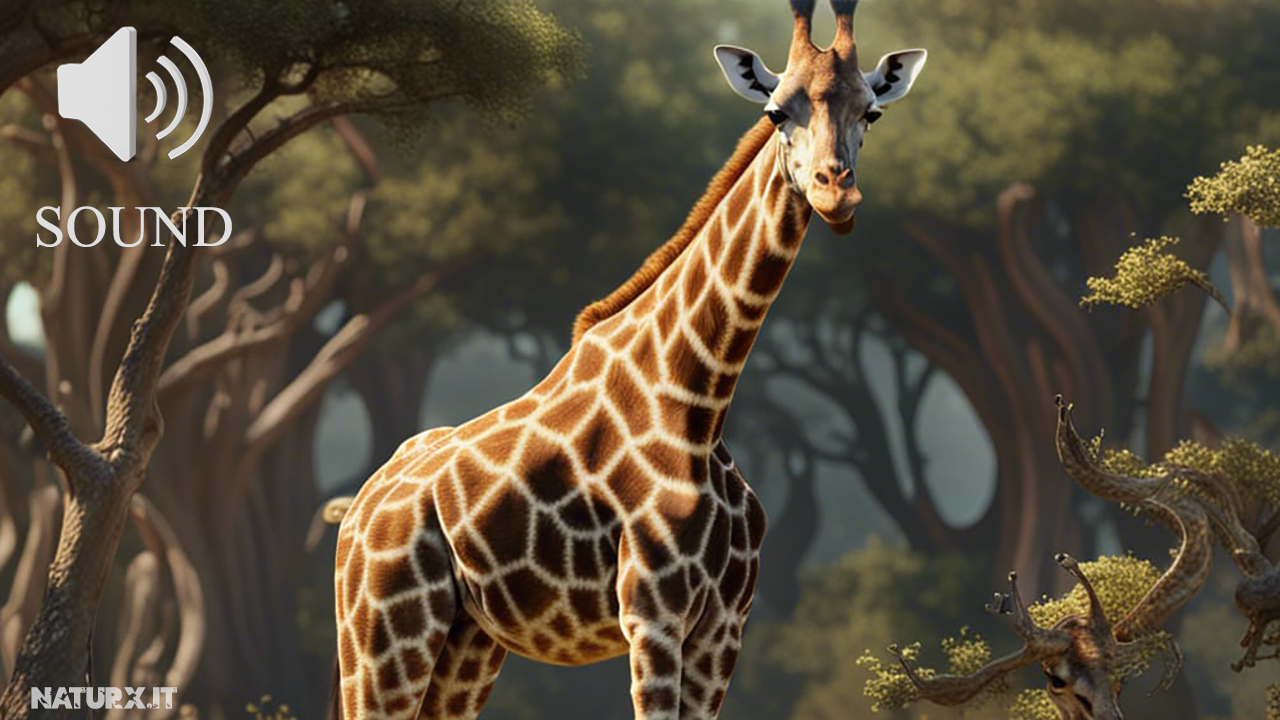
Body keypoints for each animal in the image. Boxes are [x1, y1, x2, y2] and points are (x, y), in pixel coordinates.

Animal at [332, 2, 926, 719]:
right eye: (775, 111)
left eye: (872, 112)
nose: (836, 194)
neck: (700, 404)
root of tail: (354, 514)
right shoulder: (651, 614)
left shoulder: (725, 626)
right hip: (383, 633)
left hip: (467, 642)